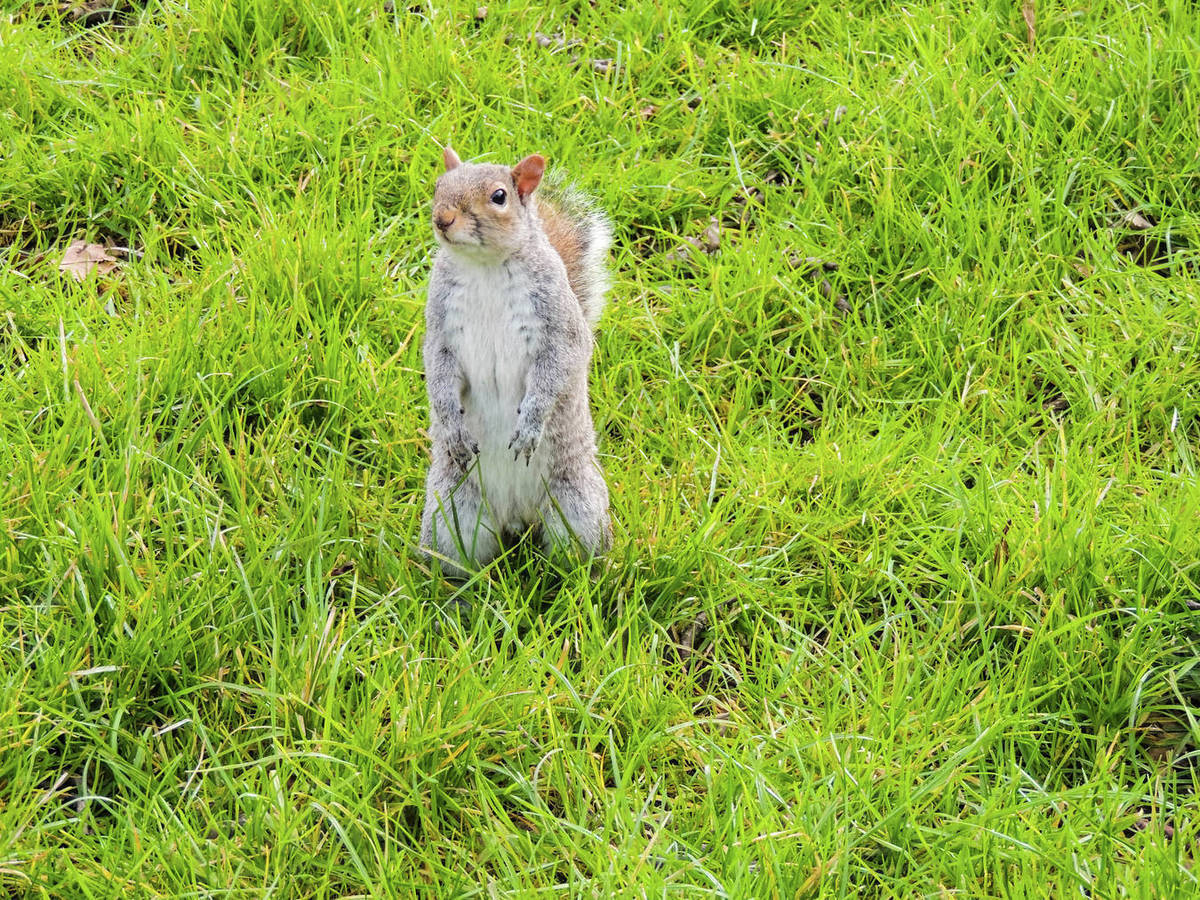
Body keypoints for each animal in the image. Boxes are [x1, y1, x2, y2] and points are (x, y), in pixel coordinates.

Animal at [419, 146, 613, 574]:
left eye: (499, 197)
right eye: (438, 186)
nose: (443, 219)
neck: (485, 267)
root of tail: (516, 518)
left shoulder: (558, 327)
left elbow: (557, 367)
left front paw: (530, 424)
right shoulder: (440, 329)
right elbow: (438, 373)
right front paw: (451, 426)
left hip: (578, 506)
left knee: (577, 557)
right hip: (452, 510)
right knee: (462, 560)